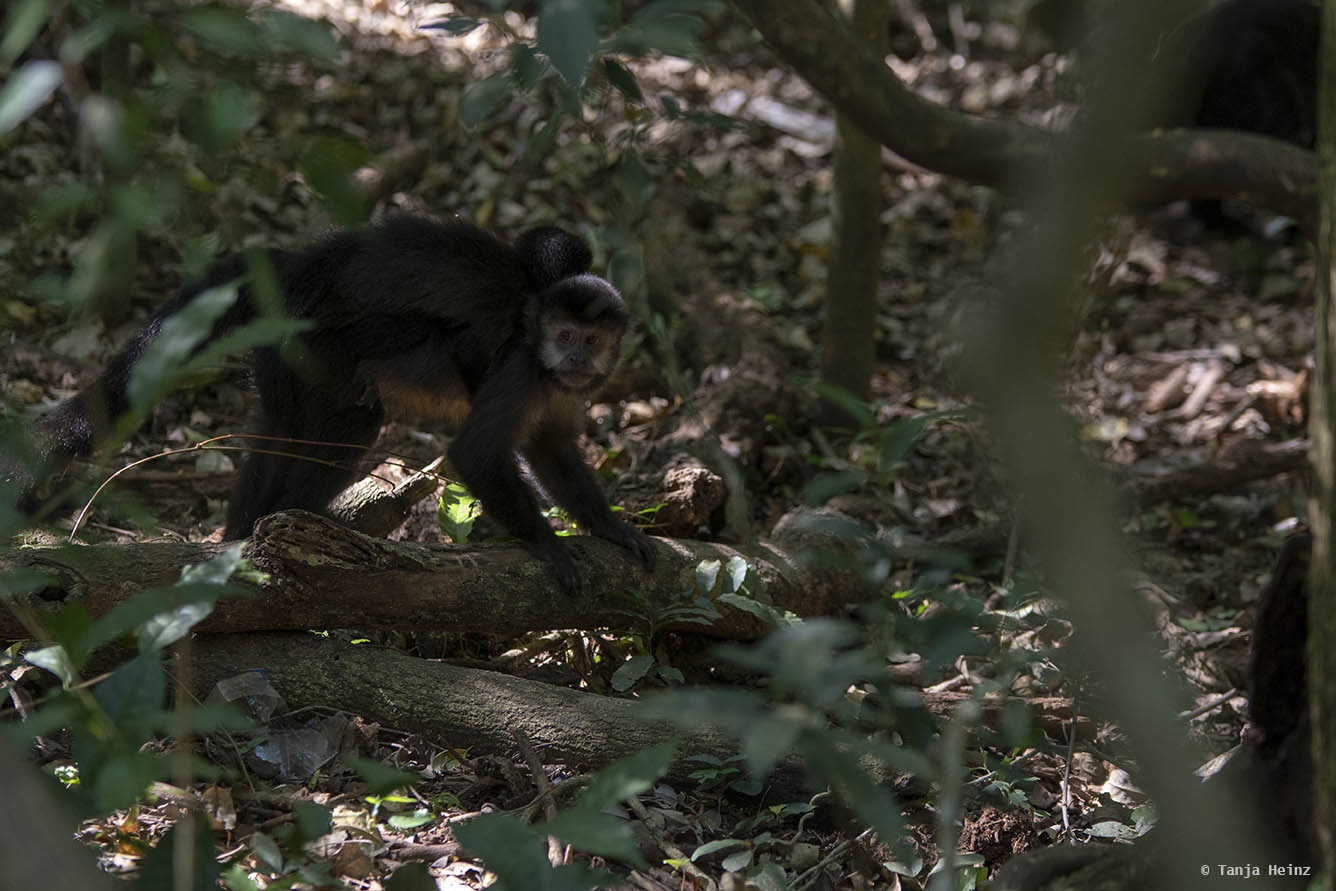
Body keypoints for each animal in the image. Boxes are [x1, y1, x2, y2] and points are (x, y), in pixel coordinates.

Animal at [21, 215, 656, 592]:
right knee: (350, 423)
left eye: (592, 342)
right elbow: (476, 450)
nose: (575, 356)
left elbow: (552, 447)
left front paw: (609, 526)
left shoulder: (559, 385)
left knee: (278, 432)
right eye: (566, 335)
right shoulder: (521, 364)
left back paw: (244, 536)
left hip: (281, 354)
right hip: (312, 343)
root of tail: (294, 271)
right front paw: (545, 543)